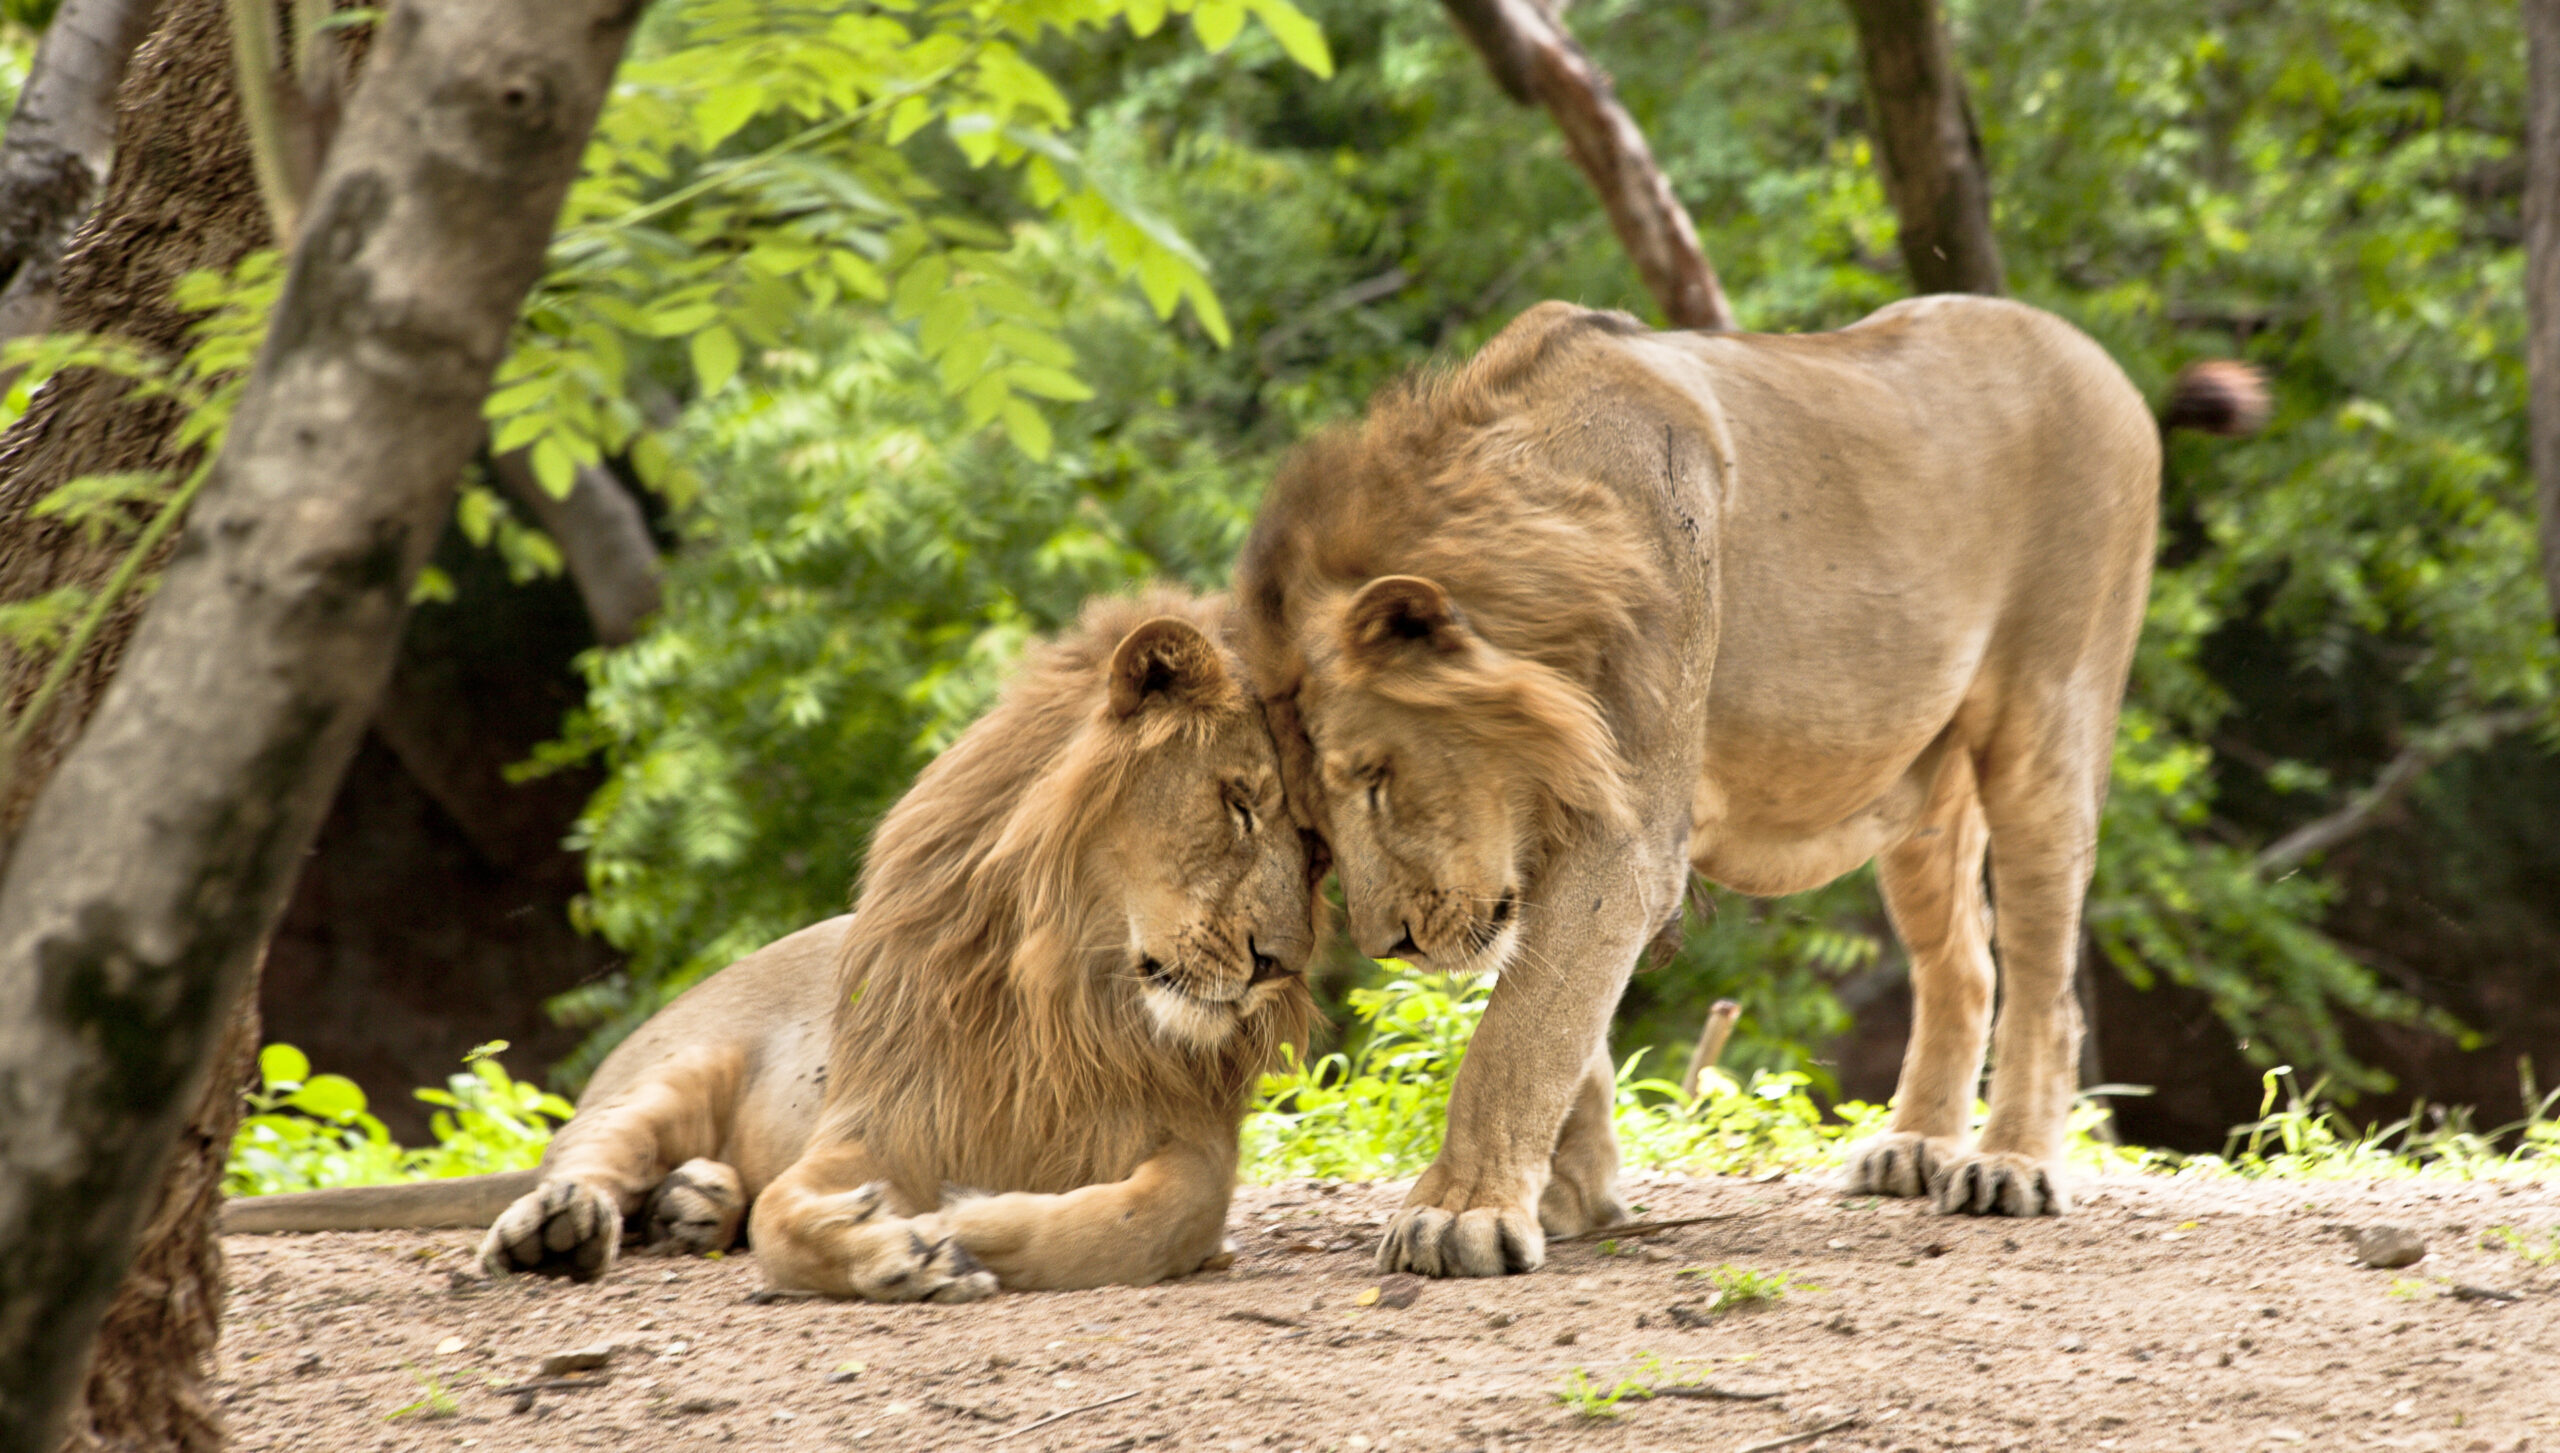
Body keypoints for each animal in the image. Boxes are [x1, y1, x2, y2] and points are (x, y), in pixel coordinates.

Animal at [226, 589, 1319, 1300]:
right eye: (1237, 802)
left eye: (1313, 846)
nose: (1276, 961)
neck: (1070, 992)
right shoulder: (876, 1127)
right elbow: (789, 1225)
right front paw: (904, 1245)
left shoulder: (1193, 1145)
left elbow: (1141, 1219)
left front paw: (962, 1222)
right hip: (670, 1068)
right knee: (577, 1156)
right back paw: (562, 1229)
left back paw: (693, 1203)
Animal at [1235, 295, 2166, 1279]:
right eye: (1314, 825)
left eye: (1375, 776)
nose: (1393, 945)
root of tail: (2092, 355)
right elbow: (1567, 1025)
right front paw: (1574, 1195)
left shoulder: (1630, 835)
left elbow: (1517, 1035)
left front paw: (1460, 1213)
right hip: (1919, 789)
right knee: (1965, 964)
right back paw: (1913, 1148)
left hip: (2047, 723)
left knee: (2045, 982)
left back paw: (2012, 1165)